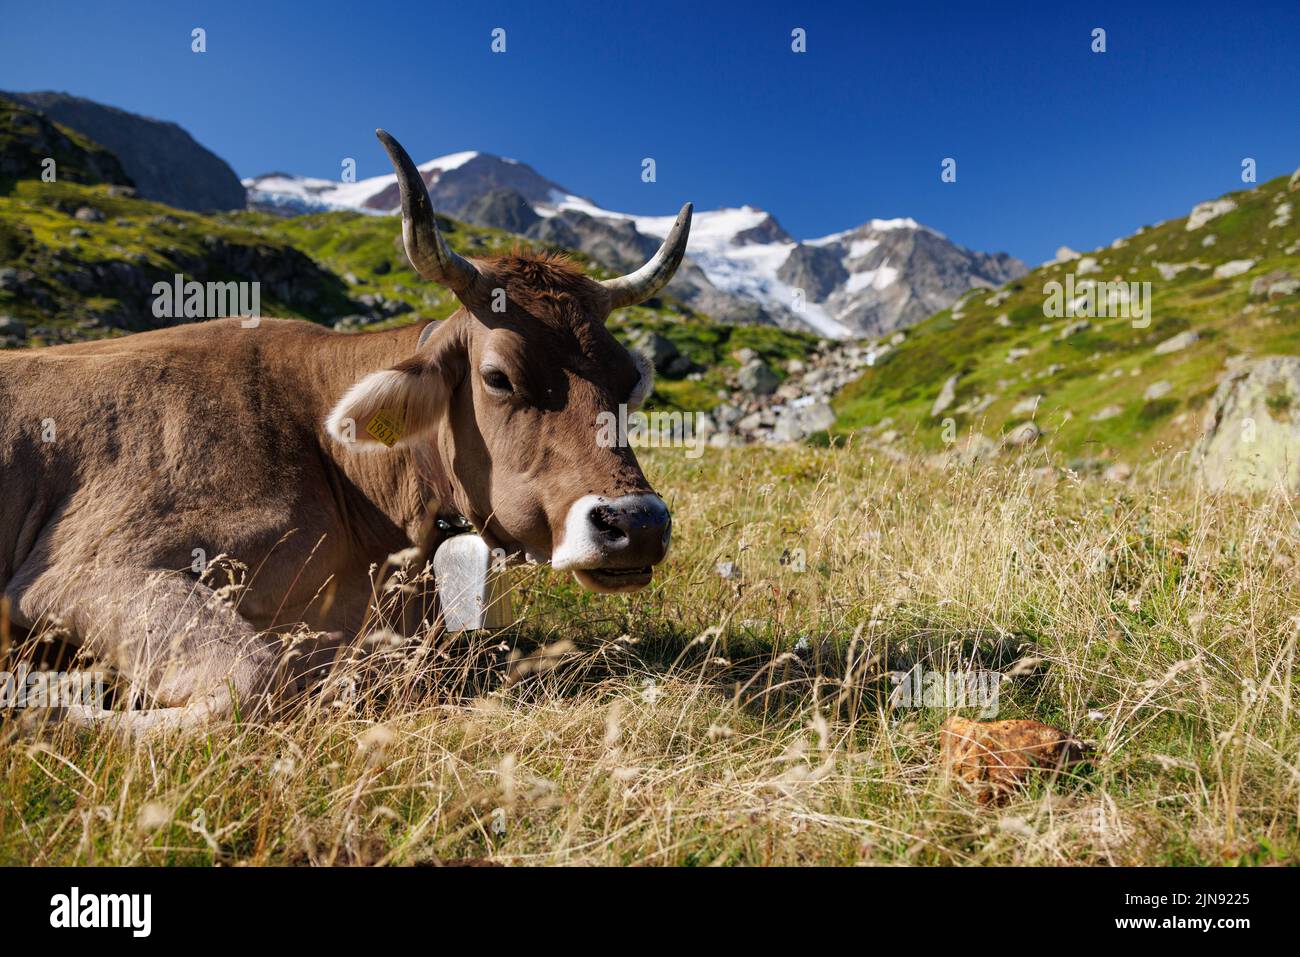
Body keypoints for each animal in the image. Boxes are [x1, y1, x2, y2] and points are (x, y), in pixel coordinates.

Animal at [0, 130, 693, 732]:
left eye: (628, 379)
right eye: (499, 377)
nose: (636, 523)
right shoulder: (81, 573)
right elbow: (254, 680)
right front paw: (45, 709)